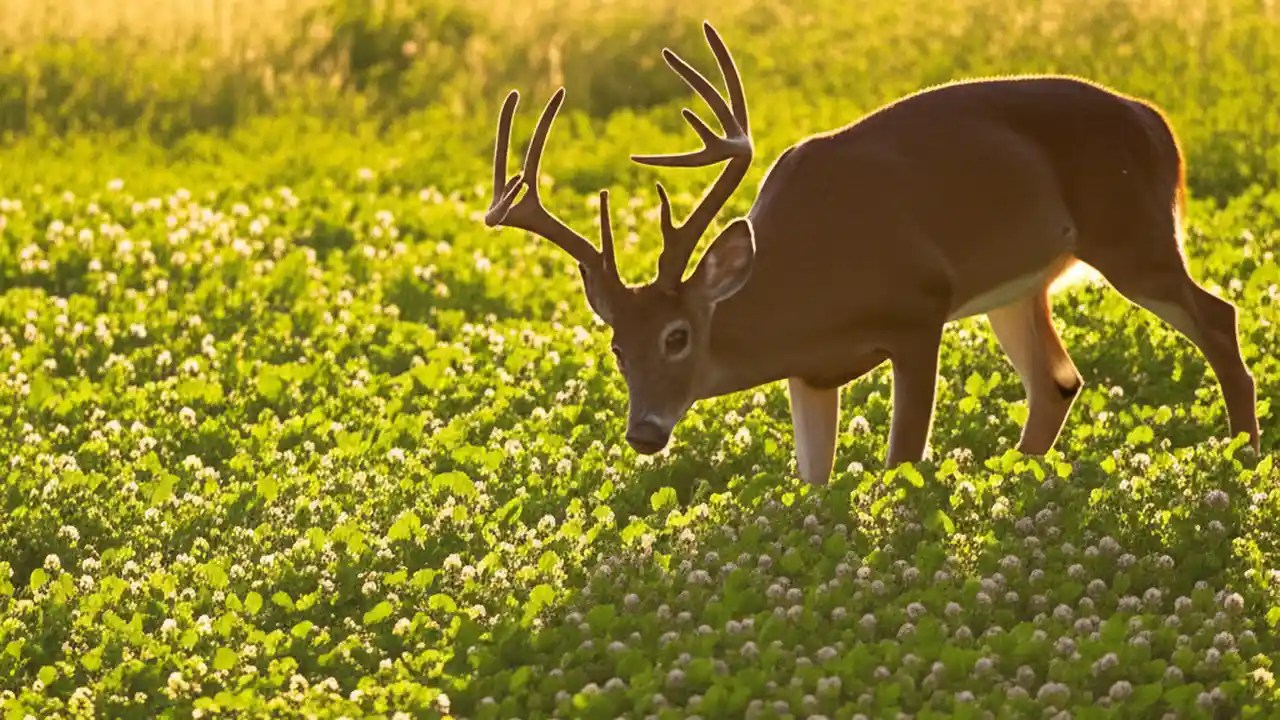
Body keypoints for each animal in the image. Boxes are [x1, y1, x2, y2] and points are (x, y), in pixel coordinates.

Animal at [483, 21, 1260, 485]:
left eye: (678, 335)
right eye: (617, 346)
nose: (644, 432)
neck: (806, 288)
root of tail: (1158, 122)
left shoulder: (918, 311)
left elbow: (900, 460)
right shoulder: (808, 376)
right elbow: (813, 481)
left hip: (1133, 234)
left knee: (1217, 316)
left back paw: (1244, 457)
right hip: (1020, 288)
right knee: (1057, 381)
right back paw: (1016, 479)